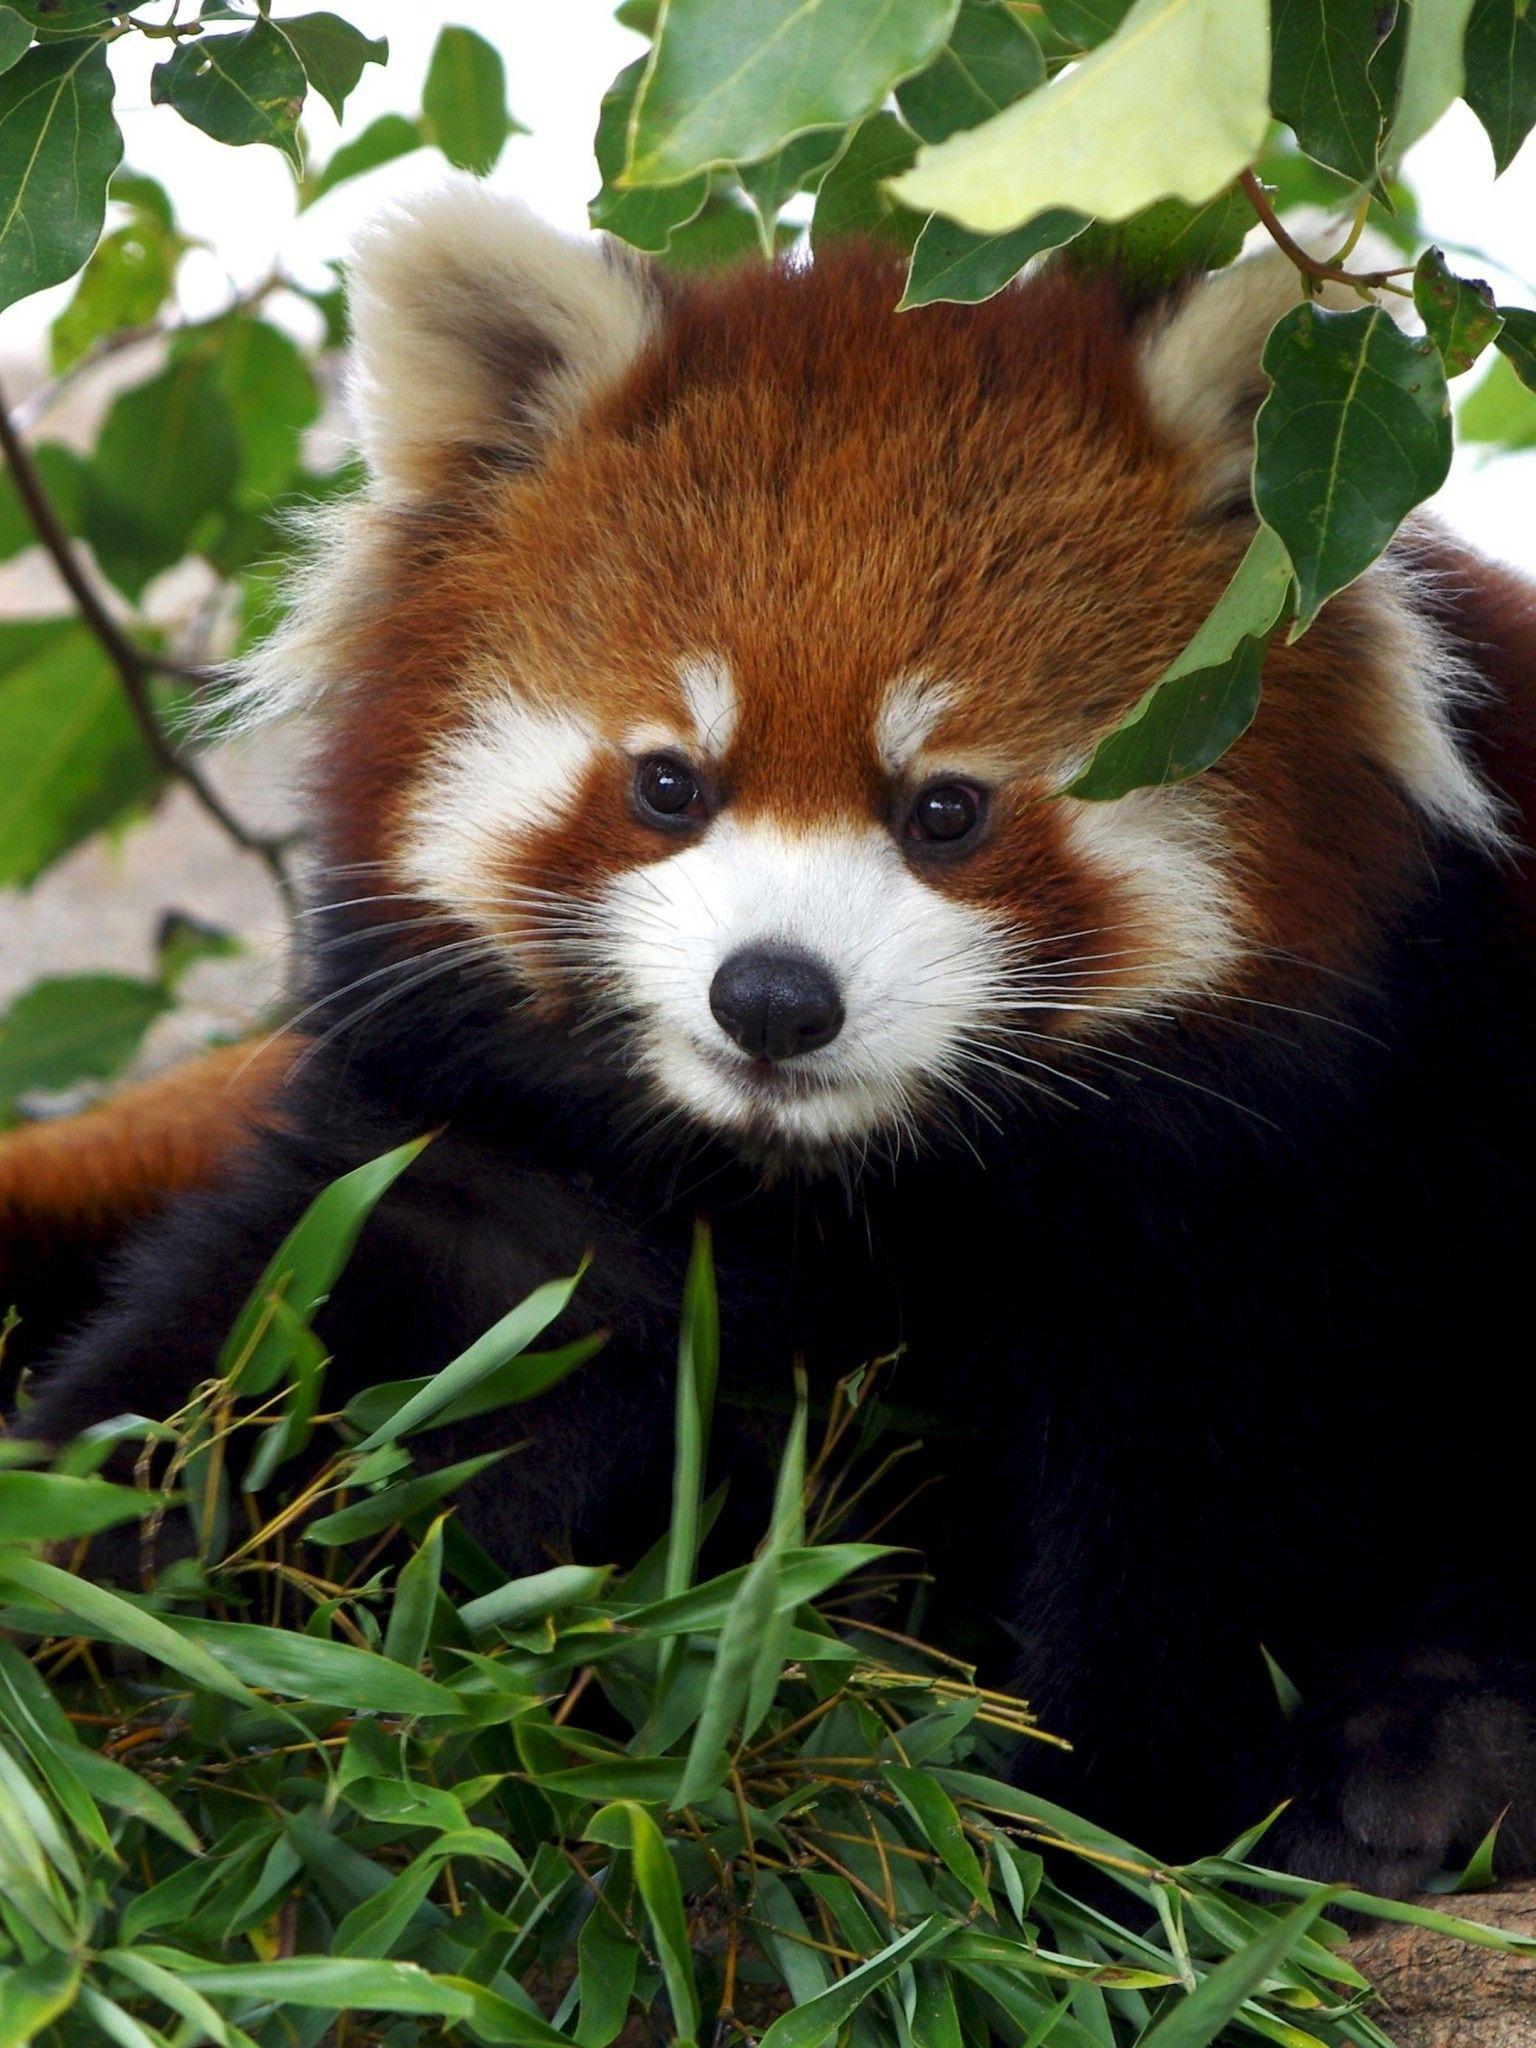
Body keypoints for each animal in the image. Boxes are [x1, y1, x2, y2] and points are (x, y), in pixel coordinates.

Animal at [9, 184, 1536, 1894]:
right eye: (670, 782)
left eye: (947, 810)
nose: (774, 997)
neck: (828, 1183)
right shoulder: (500, 1136)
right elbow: (297, 1323)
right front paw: (88, 1585)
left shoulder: (1274, 1194)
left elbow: (1200, 1527)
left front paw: (1110, 1836)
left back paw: (1427, 1758)